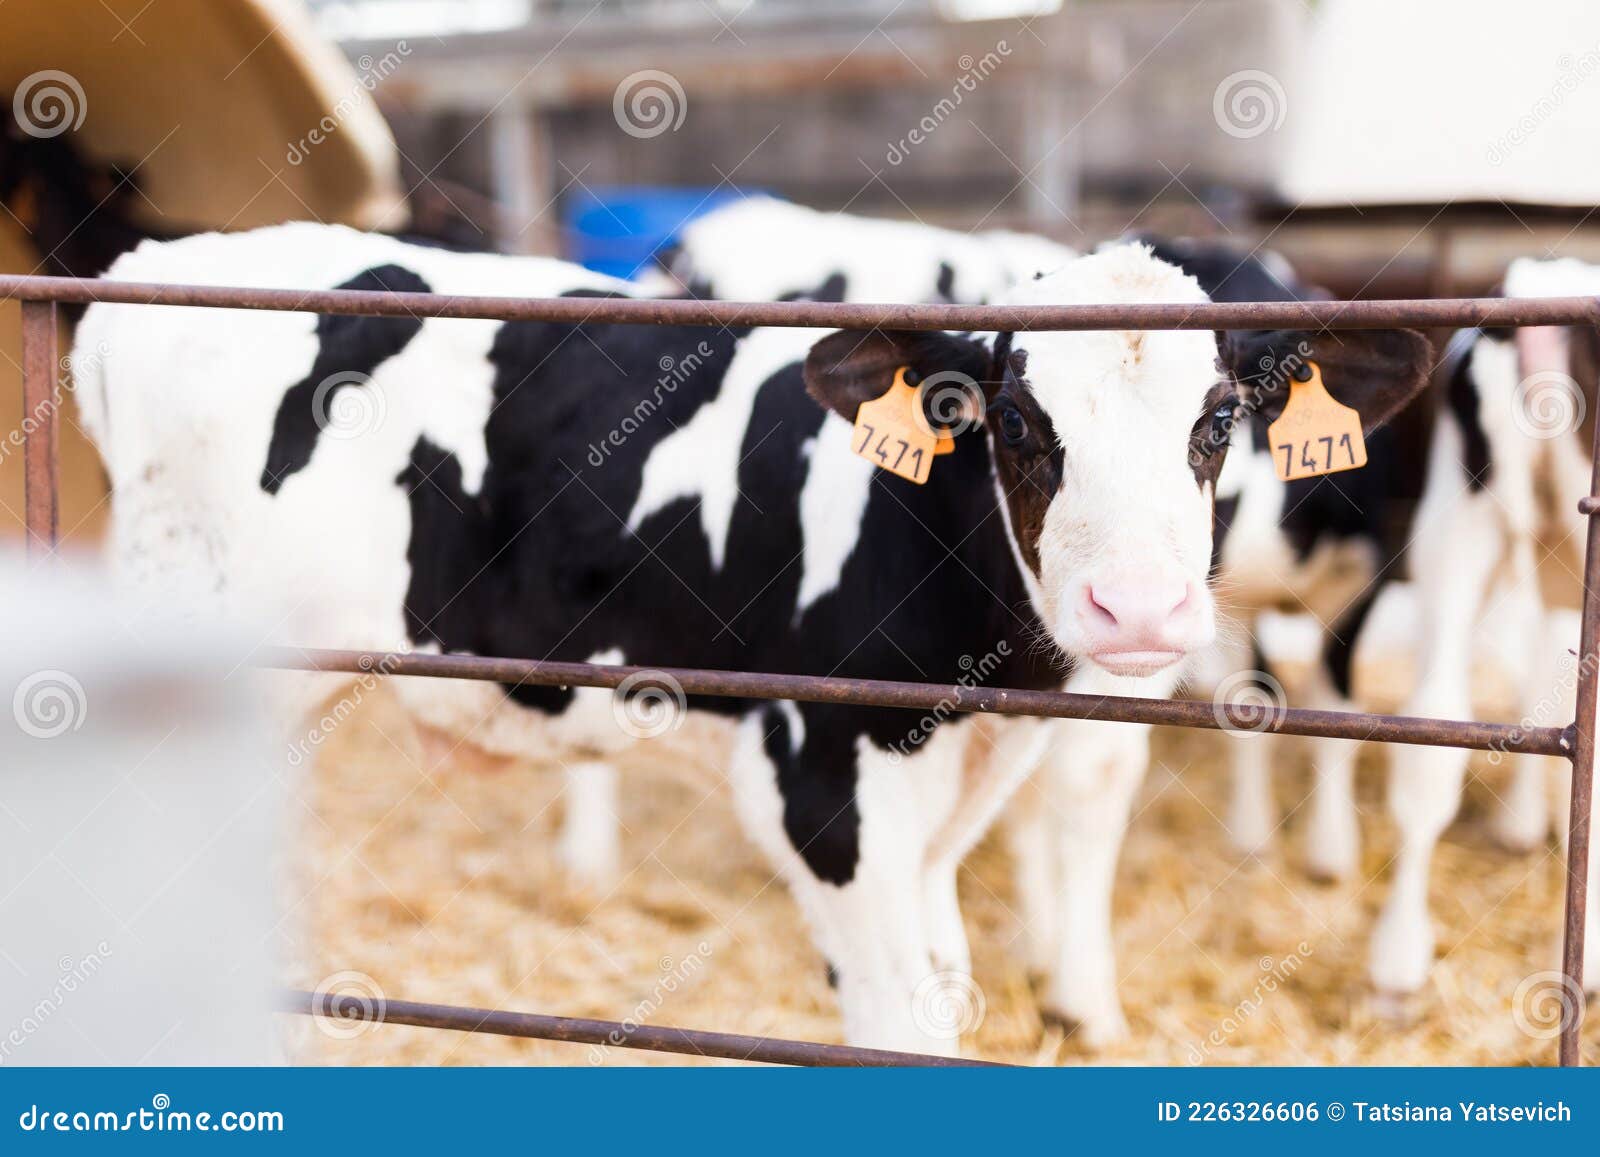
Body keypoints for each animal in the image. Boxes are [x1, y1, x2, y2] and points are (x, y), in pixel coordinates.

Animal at [72, 221, 1433, 1054]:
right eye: (1013, 419)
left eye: (1219, 418)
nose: (1140, 609)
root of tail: (158, 265)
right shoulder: (821, 782)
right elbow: (896, 1026)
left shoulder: (945, 802)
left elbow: (947, 989)